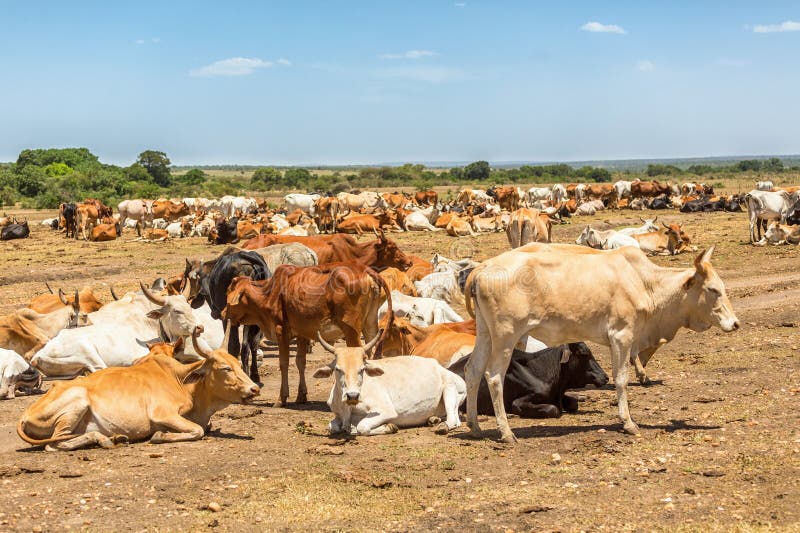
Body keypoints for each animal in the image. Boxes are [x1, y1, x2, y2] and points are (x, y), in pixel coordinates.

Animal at [17, 328, 260, 451]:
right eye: (225, 368)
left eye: (240, 365)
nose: (254, 389)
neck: (183, 381)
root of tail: (25, 414)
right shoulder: (163, 414)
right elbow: (197, 430)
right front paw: (160, 435)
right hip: (76, 403)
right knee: (55, 444)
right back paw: (106, 440)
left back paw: (113, 438)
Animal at [221, 262, 391, 406]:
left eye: (228, 292)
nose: (222, 313)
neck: (270, 293)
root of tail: (365, 269)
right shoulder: (301, 333)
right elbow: (300, 362)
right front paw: (301, 395)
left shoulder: (281, 331)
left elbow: (284, 363)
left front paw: (282, 398)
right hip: (370, 326)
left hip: (351, 331)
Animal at [313, 338, 466, 436]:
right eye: (338, 369)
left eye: (362, 369)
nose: (352, 396)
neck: (347, 408)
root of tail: (439, 366)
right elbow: (333, 427)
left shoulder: (386, 410)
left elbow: (361, 427)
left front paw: (389, 427)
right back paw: (433, 419)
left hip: (450, 389)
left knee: (454, 420)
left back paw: (442, 425)